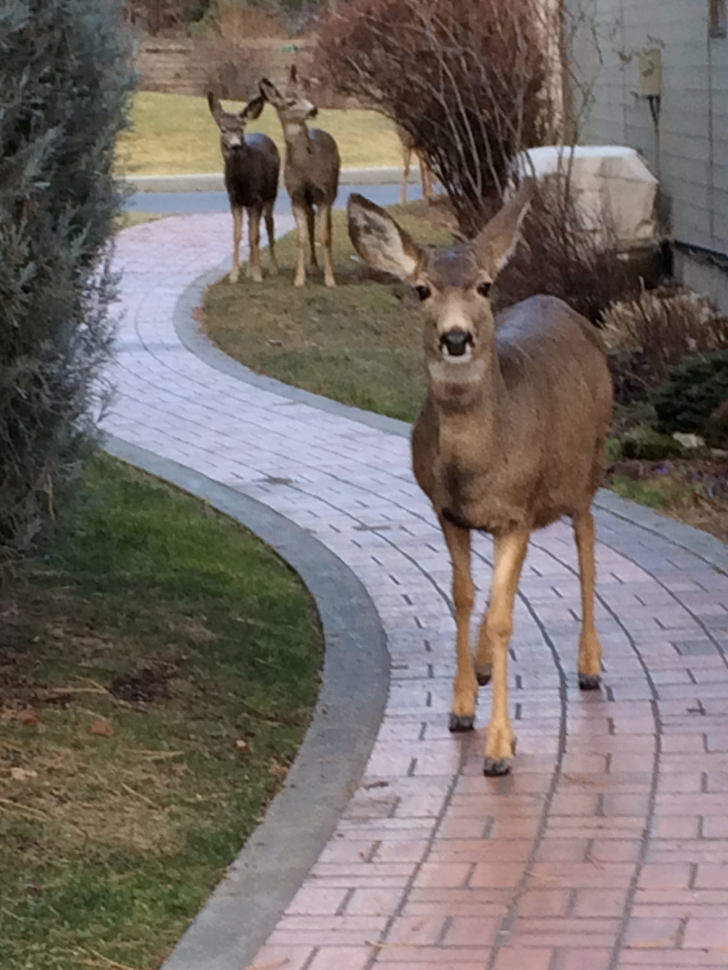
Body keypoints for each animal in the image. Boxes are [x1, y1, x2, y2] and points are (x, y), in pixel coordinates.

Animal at [208, 91, 280, 284]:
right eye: (223, 129)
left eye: (241, 128)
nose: (235, 146)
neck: (242, 180)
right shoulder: (234, 200)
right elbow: (237, 234)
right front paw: (234, 275)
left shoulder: (258, 198)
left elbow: (256, 235)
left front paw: (258, 274)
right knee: (250, 227)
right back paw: (248, 269)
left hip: (271, 194)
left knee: (269, 224)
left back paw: (272, 267)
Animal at [259, 67, 340, 287]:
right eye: (290, 102)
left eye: (306, 95)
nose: (313, 109)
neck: (306, 168)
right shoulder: (295, 195)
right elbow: (300, 237)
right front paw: (299, 278)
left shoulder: (323, 193)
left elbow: (325, 235)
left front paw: (330, 279)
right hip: (307, 198)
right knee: (311, 220)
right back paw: (313, 266)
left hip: (332, 189)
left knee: (326, 226)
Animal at [347, 182, 613, 776]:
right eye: (422, 289)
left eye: (484, 286)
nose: (455, 337)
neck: (478, 465)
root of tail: (563, 306)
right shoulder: (450, 512)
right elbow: (466, 598)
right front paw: (463, 705)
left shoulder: (515, 512)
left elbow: (503, 618)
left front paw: (498, 749)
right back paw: (489, 665)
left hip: (587, 470)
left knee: (586, 548)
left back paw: (589, 663)